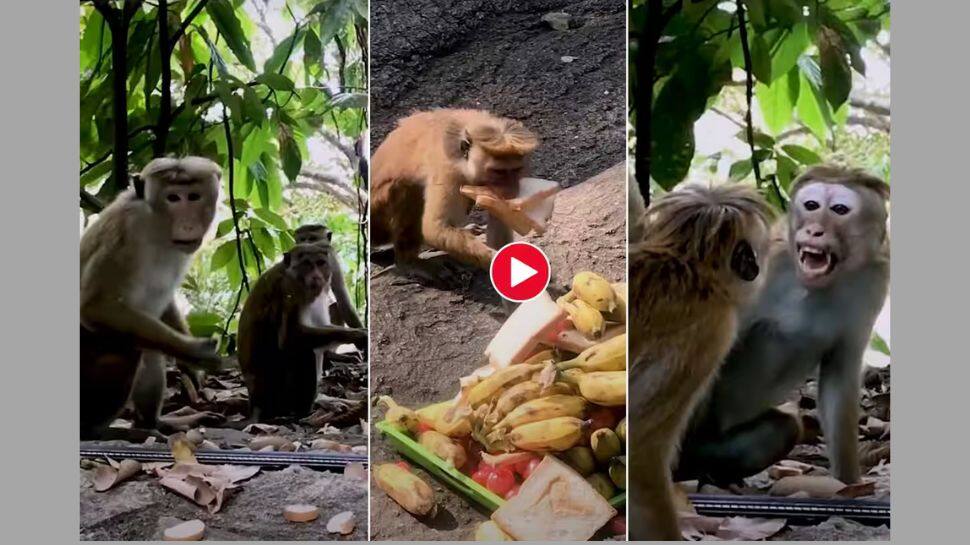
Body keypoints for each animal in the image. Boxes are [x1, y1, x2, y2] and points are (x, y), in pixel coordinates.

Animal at [80, 156, 224, 439]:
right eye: (173, 198)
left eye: (193, 196)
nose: (188, 224)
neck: (156, 223)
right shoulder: (126, 233)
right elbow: (96, 306)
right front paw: (193, 351)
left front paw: (189, 366)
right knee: (127, 346)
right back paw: (98, 430)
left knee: (150, 349)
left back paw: (153, 423)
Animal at [236, 243, 368, 422]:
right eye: (306, 264)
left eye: (320, 263)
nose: (316, 276)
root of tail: (255, 405)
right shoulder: (289, 289)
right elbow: (290, 337)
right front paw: (358, 335)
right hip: (278, 397)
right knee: (303, 352)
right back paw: (303, 411)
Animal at [370, 109, 538, 283]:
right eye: (498, 172)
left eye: (516, 170)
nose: (510, 188)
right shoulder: (448, 172)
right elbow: (435, 228)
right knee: (408, 189)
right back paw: (409, 262)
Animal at [676, 166, 890, 487]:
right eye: (811, 205)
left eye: (839, 210)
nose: (814, 230)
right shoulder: (759, 265)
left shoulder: (875, 278)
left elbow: (839, 375)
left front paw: (849, 483)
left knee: (786, 428)